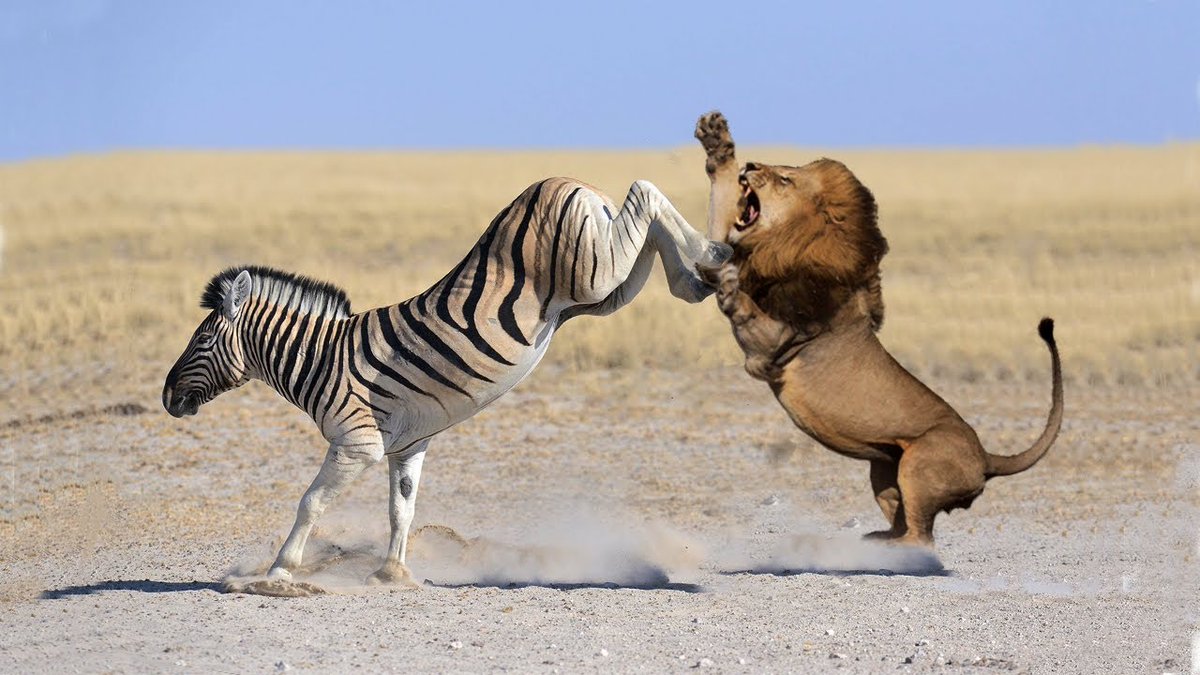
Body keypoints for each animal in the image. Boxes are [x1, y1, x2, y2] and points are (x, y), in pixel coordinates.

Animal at [162, 177, 730, 585]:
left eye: (201, 341)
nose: (167, 397)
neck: (320, 359)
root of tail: (564, 180)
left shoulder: (356, 444)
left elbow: (311, 502)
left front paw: (279, 570)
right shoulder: (406, 446)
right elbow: (402, 509)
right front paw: (392, 573)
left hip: (594, 271)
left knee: (645, 191)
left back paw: (709, 255)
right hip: (604, 290)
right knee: (647, 227)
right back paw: (697, 274)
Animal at [694, 111, 1063, 546]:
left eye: (784, 178)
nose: (750, 166)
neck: (782, 247)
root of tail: (986, 456)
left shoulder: (776, 347)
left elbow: (745, 306)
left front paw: (729, 282)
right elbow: (719, 217)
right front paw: (717, 142)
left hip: (920, 461)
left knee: (922, 536)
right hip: (884, 470)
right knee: (904, 521)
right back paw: (877, 538)